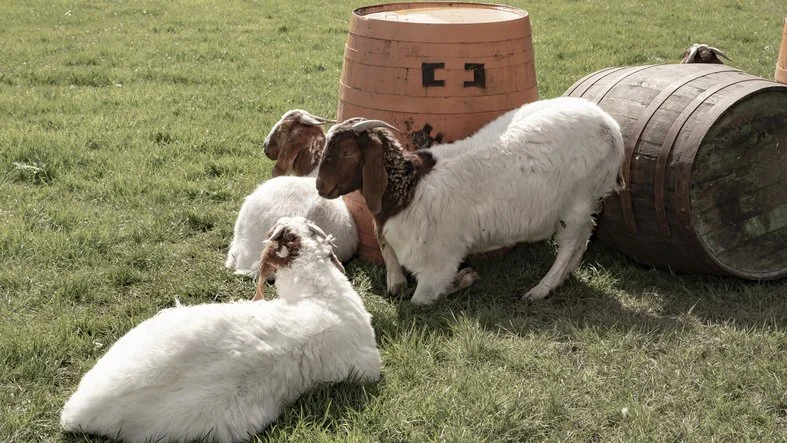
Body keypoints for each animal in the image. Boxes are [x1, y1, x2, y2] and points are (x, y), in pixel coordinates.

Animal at [315, 97, 625, 304]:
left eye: (347, 153)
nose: (320, 186)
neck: (409, 189)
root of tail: (612, 128)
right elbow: (391, 265)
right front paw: (396, 282)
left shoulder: (436, 264)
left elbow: (422, 298)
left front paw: (466, 278)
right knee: (583, 238)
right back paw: (565, 276)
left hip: (576, 202)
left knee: (570, 244)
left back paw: (540, 289)